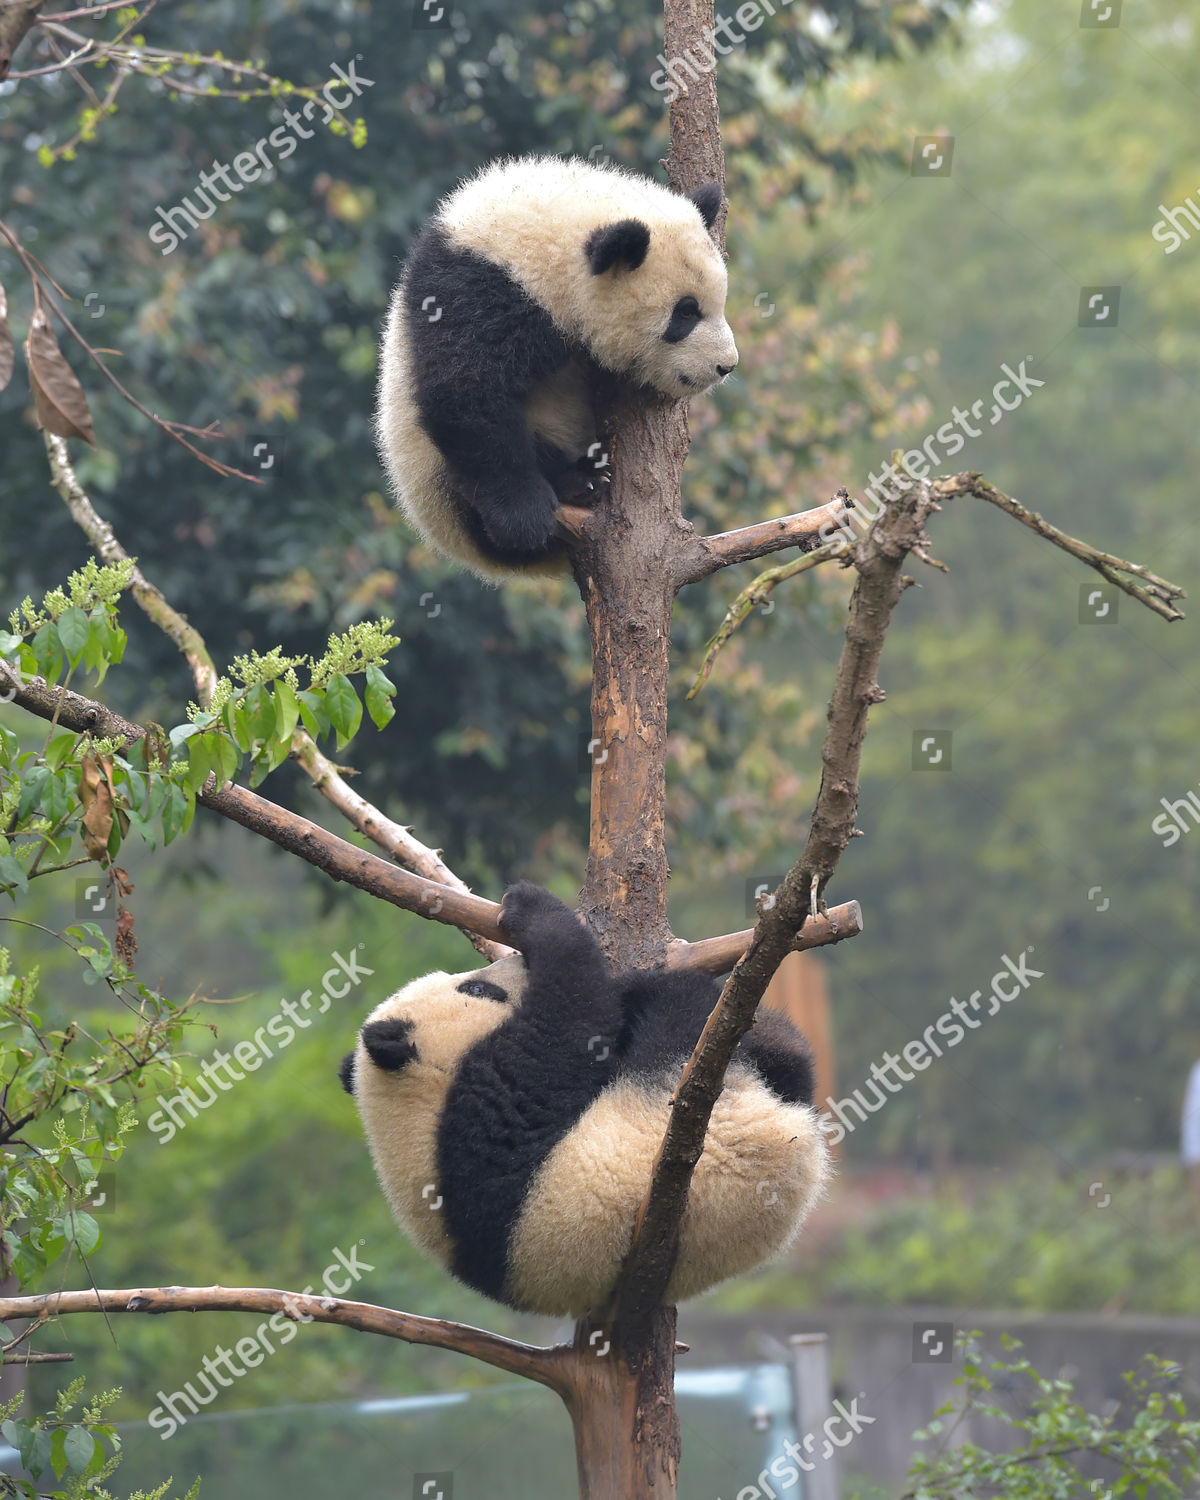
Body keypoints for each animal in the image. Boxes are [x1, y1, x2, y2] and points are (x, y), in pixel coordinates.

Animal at [339, 881, 828, 1318]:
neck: (414, 1110)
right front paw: (531, 908)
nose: (517, 961)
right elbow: (571, 1021)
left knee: (784, 1061)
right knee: (683, 1016)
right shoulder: (485, 1102)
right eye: (477, 991)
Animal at [376, 155, 740, 583]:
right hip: (433, 477)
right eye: (685, 313)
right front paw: (524, 516)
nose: (725, 365)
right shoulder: (475, 288)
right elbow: (466, 390)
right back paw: (577, 482)